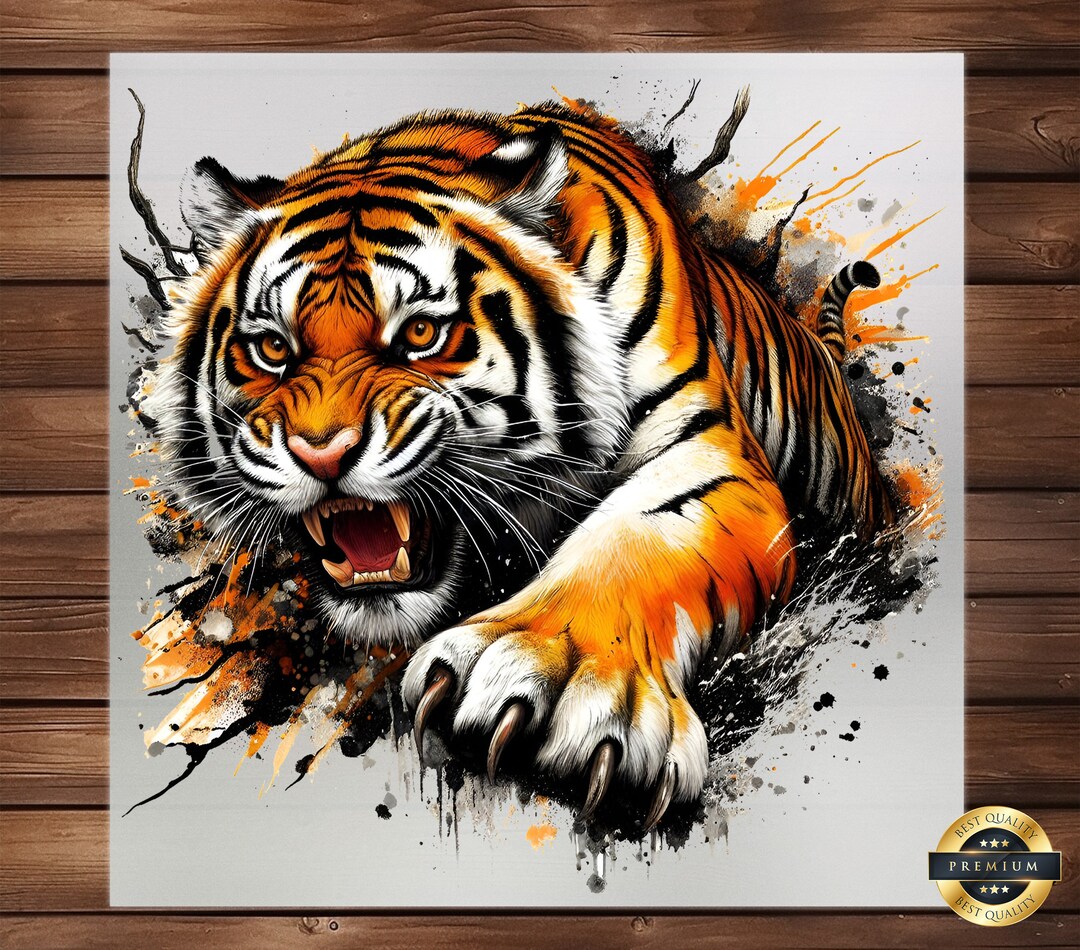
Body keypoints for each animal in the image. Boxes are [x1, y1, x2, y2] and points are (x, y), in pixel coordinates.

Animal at [148, 99, 894, 830]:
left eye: (421, 334)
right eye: (272, 348)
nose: (320, 451)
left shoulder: (709, 449)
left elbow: (634, 538)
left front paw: (560, 673)